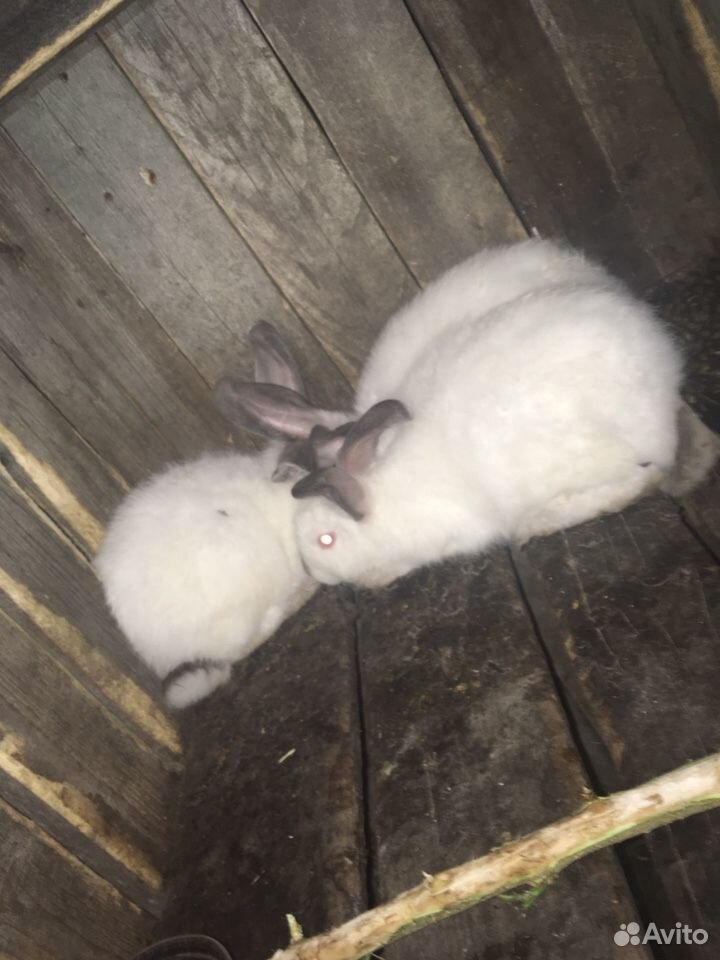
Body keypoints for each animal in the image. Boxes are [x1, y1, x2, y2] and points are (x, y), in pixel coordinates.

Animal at [288, 239, 709, 589]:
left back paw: (537, 523)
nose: (316, 576)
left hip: (591, 459)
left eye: (326, 541)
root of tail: (661, 370)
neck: (385, 492)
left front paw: (375, 578)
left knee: (642, 479)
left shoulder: (454, 534)